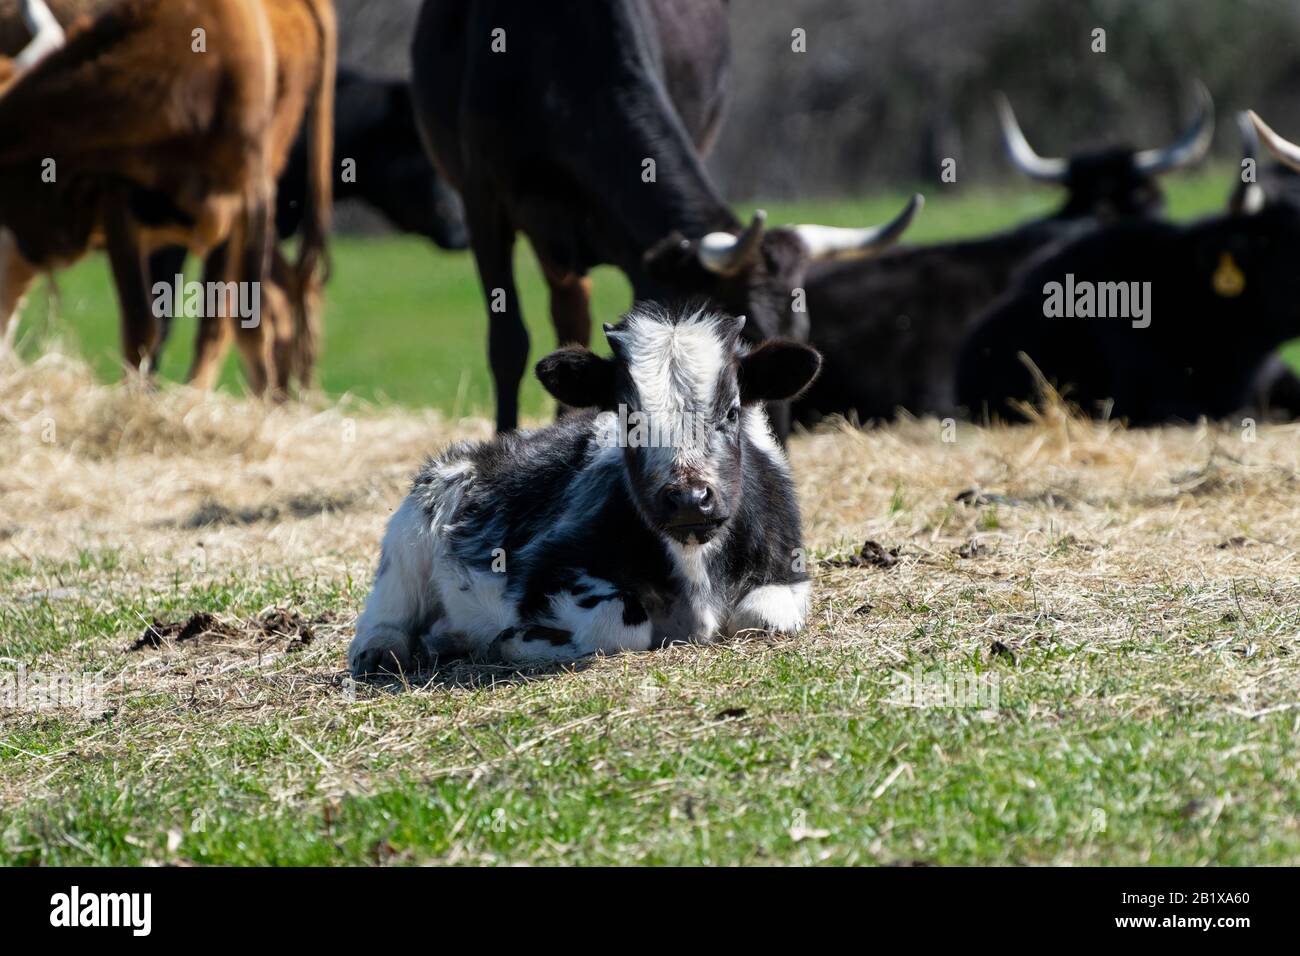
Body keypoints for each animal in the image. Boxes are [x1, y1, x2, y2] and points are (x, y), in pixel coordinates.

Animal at [348, 303, 820, 676]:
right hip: (414, 525)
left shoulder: (787, 568)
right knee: (387, 609)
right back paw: (381, 650)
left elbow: (760, 617)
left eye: (732, 411)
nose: (689, 500)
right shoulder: (542, 574)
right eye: (628, 416)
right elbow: (621, 623)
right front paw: (519, 641)